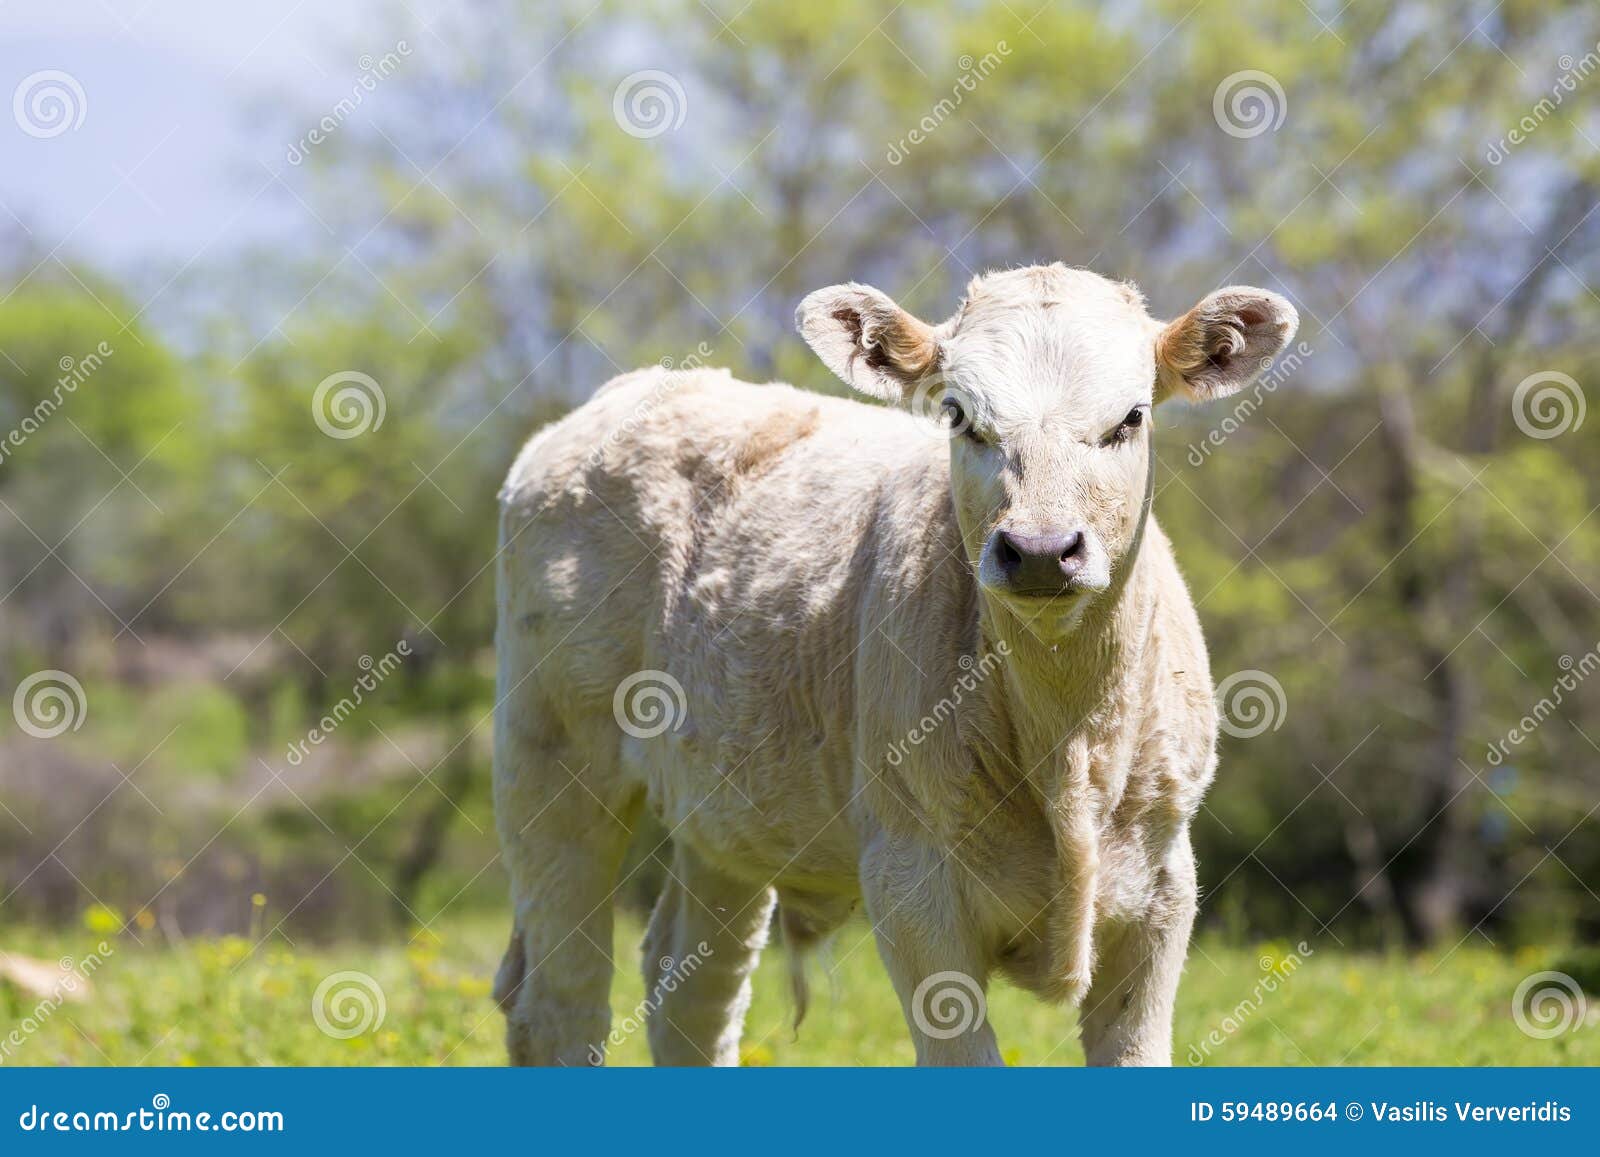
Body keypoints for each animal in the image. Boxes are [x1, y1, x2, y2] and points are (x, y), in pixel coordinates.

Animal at [491, 264, 1297, 1066]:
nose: (1039, 550)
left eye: (1130, 417)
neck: (1067, 741)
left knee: (689, 994)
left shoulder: (1162, 889)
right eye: (959, 415)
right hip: (551, 756)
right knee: (561, 1001)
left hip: (725, 812)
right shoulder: (911, 886)